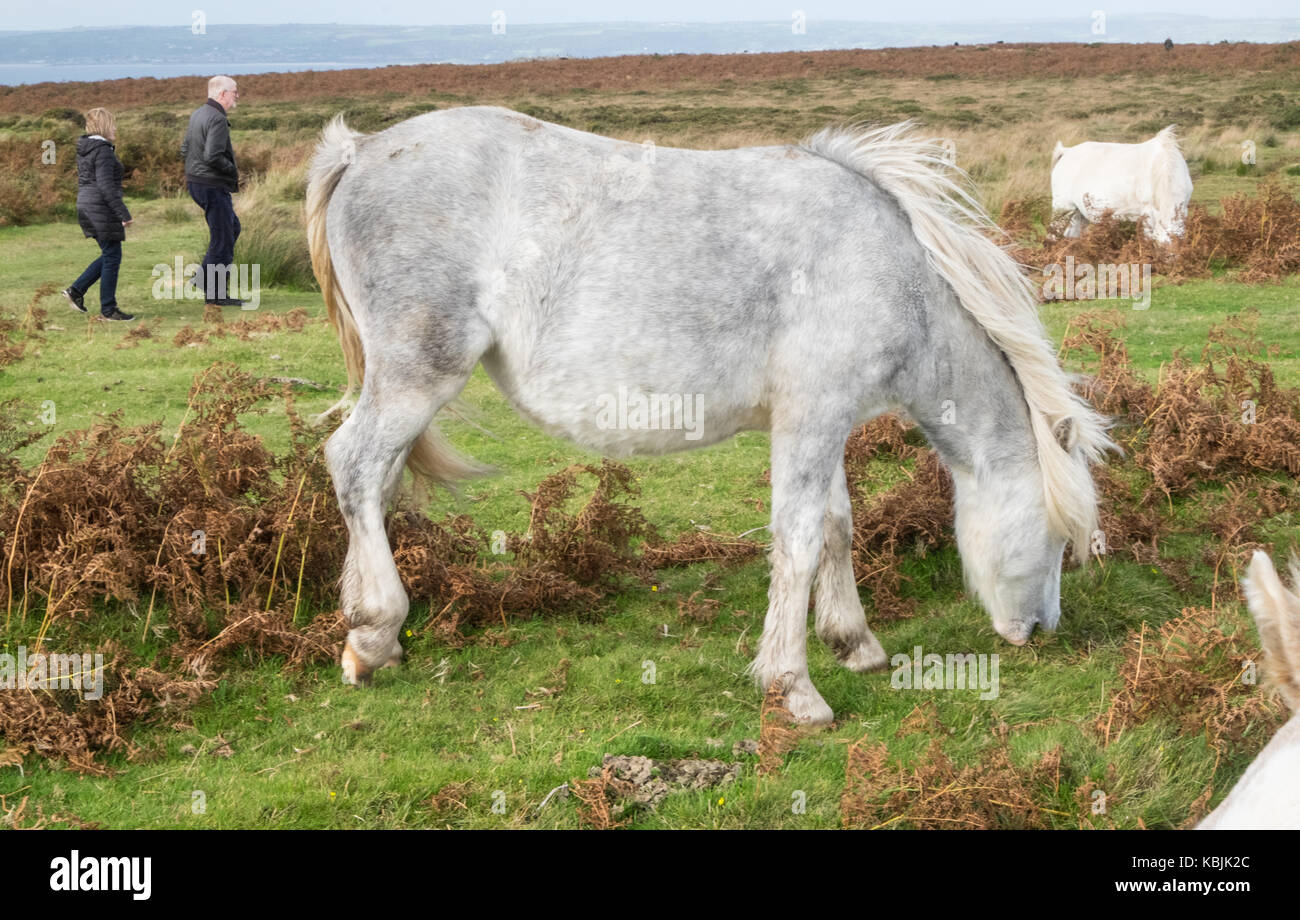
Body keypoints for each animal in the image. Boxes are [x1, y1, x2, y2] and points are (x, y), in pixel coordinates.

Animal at [305, 106, 1114, 724]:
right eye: (1057, 540)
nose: (1039, 631)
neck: (893, 269)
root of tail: (361, 149)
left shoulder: (818, 420)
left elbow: (834, 526)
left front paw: (855, 644)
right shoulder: (813, 418)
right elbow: (797, 540)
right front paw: (796, 689)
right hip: (417, 377)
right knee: (356, 468)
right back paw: (373, 635)